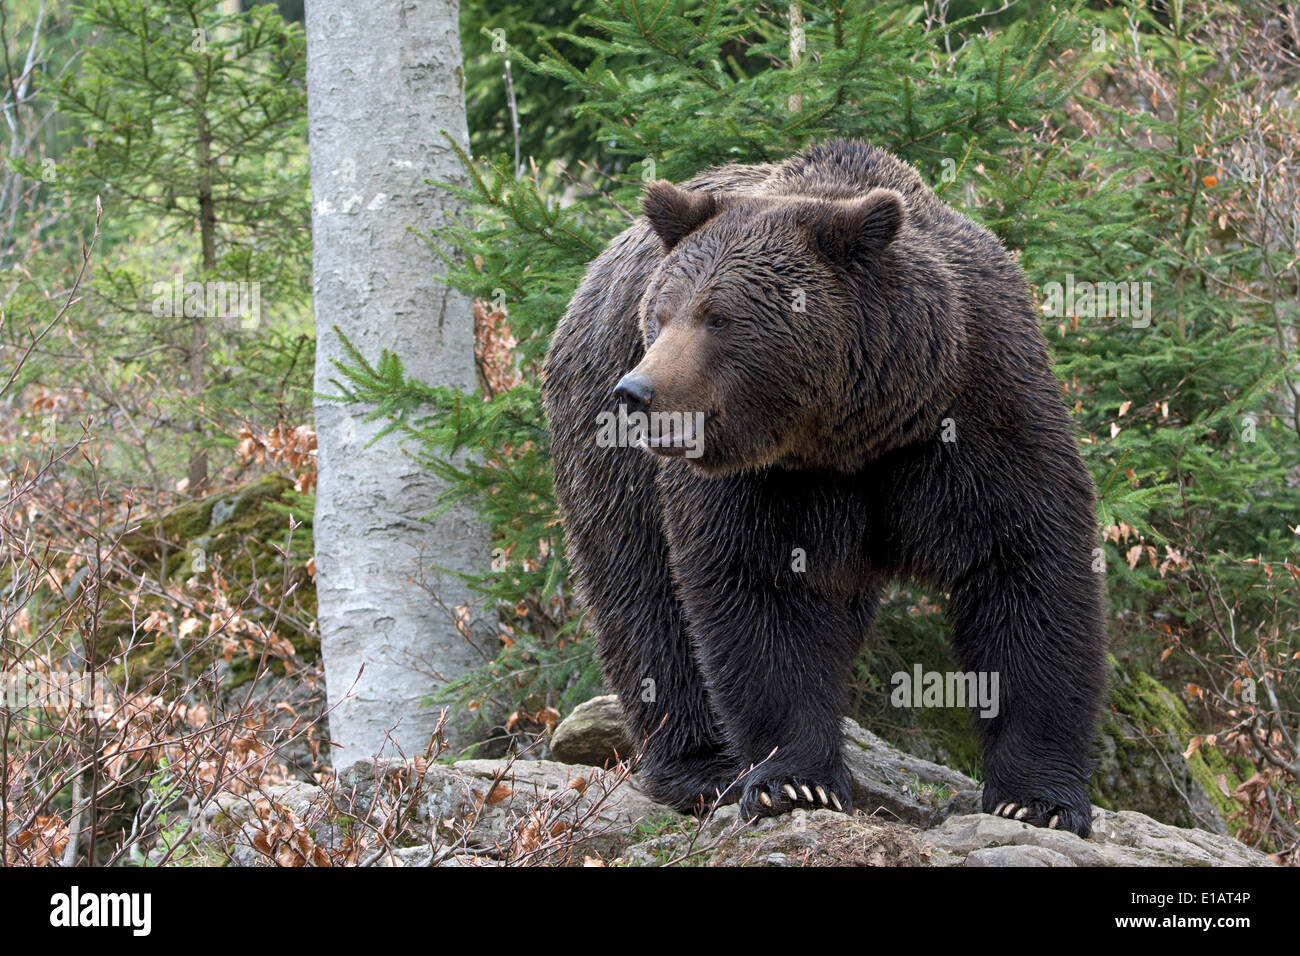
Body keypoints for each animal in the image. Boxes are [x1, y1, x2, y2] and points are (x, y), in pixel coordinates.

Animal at [541, 139, 1107, 836]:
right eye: (662, 312)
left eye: (718, 317)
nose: (639, 394)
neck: (852, 429)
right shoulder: (757, 481)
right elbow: (759, 596)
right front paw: (793, 781)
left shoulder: (980, 412)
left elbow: (1026, 569)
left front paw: (1037, 798)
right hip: (607, 457)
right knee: (641, 597)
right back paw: (702, 771)